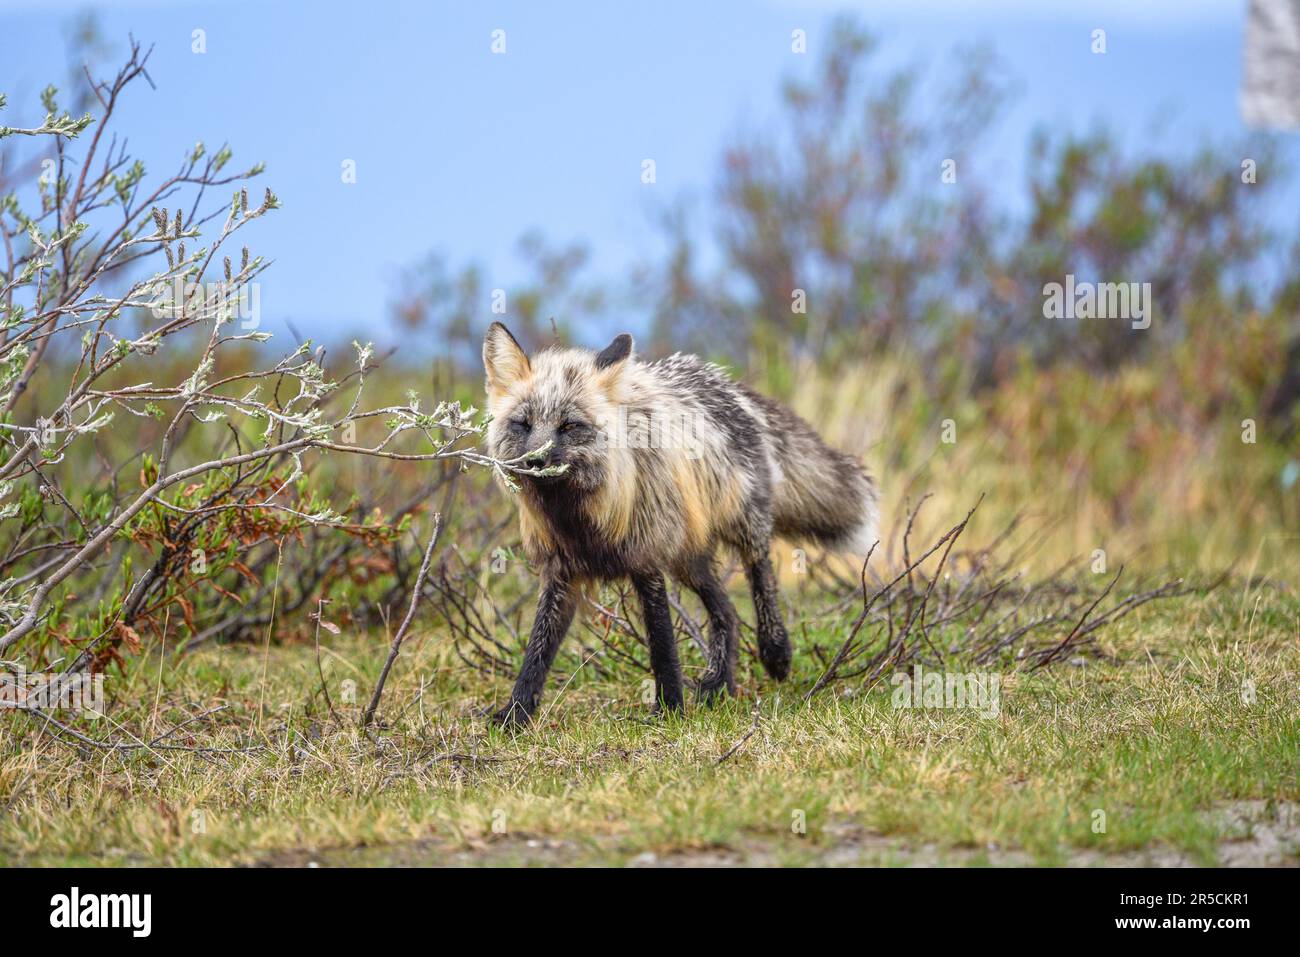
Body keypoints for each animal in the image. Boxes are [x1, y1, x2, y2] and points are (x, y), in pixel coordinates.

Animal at [482, 321, 878, 728]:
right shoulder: (560, 572)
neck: (579, 522)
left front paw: (670, 708)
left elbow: (662, 646)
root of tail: (726, 384)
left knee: (761, 573)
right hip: (689, 561)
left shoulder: (647, 561)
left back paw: (775, 651)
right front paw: (515, 715)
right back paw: (719, 684)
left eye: (568, 426)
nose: (535, 461)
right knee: (728, 613)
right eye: (523, 424)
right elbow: (537, 651)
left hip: (739, 528)